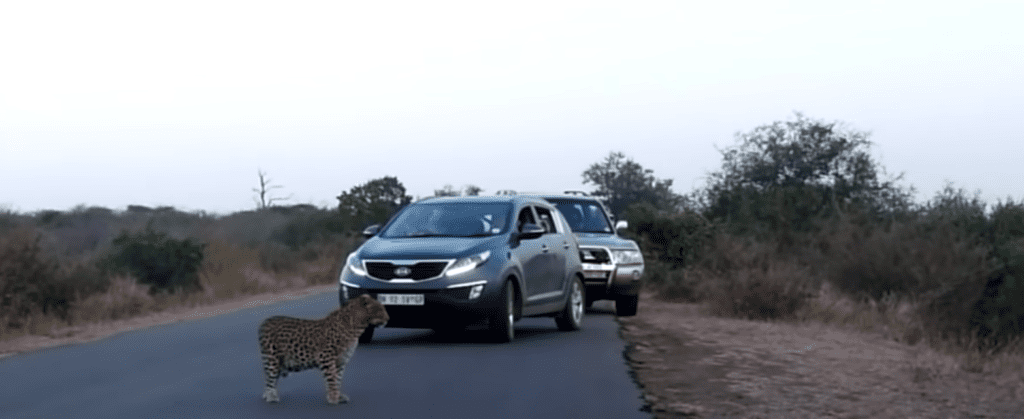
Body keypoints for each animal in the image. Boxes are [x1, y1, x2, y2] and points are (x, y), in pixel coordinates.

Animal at [257, 294, 389, 404]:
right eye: (379, 309)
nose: (388, 319)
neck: (357, 326)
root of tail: (266, 321)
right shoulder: (326, 357)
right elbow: (332, 379)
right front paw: (334, 397)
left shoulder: (340, 361)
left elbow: (338, 379)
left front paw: (338, 396)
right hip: (272, 358)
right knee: (270, 378)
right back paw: (271, 396)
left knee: (271, 378)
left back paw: (267, 395)